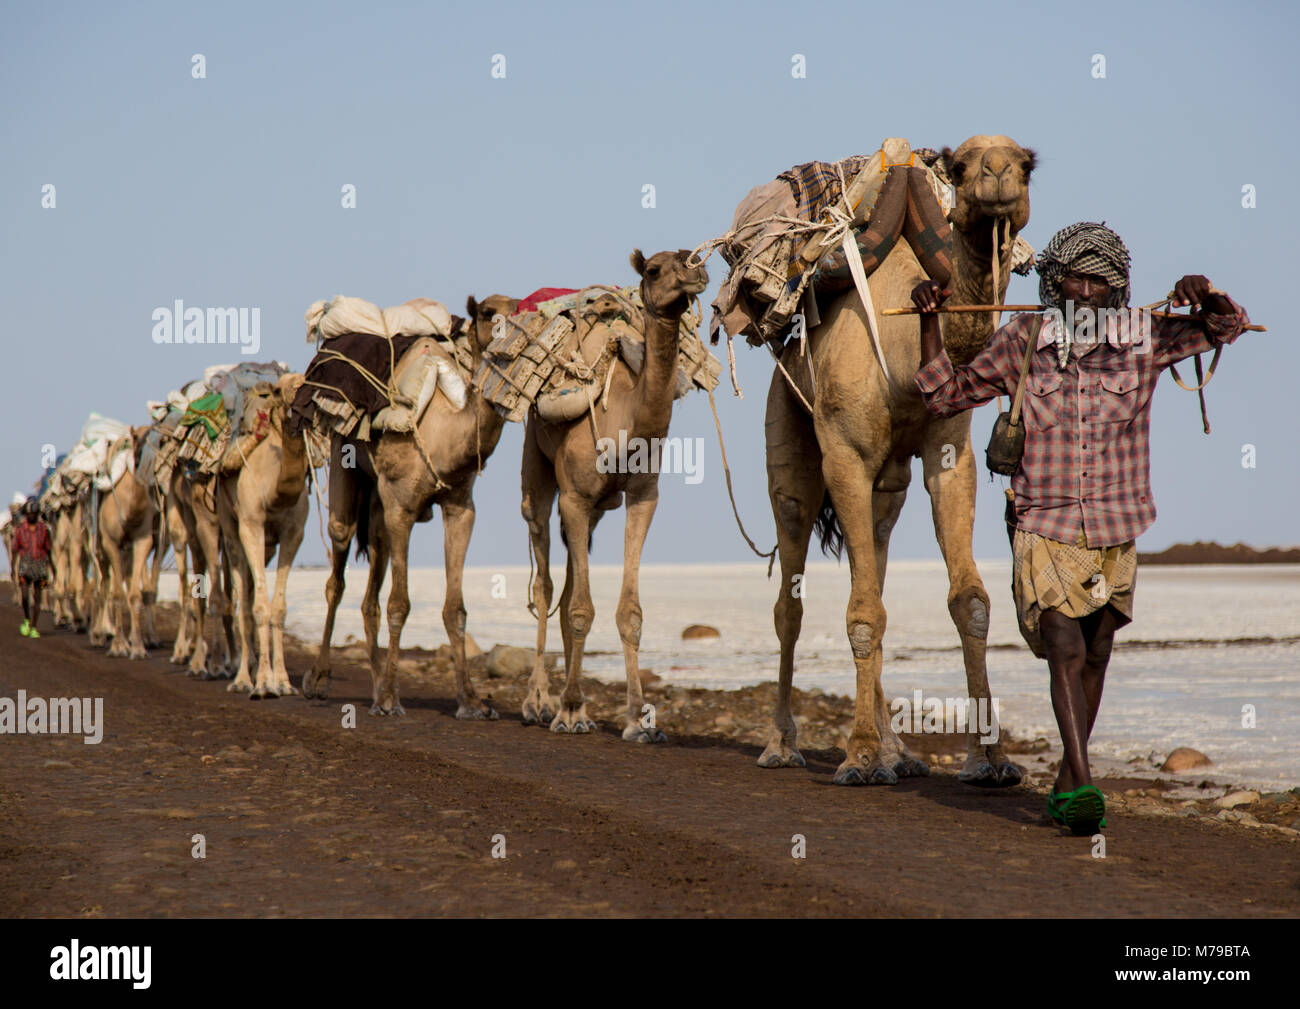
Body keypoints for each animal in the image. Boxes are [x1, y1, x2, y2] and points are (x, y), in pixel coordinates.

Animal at [216, 374, 315, 698]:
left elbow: (279, 609)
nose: (300, 407)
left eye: (308, 381)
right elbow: (258, 608)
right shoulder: (251, 524)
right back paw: (242, 679)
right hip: (228, 524)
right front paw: (262, 684)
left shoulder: (294, 533)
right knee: (242, 603)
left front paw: (282, 682)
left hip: (268, 545)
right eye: (279, 391)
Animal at [303, 298, 514, 718]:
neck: (442, 431)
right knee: (338, 562)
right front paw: (390, 699)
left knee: (371, 587)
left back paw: (374, 684)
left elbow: (456, 609)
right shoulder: (401, 508)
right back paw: (319, 679)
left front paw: (471, 701)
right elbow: (399, 604)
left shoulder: (460, 508)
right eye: (487, 313)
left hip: (378, 509)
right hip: (342, 457)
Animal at [520, 249, 709, 740]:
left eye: (686, 255)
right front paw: (568, 709)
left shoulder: (642, 497)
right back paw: (539, 703)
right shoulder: (574, 496)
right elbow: (580, 610)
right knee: (545, 582)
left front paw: (639, 720)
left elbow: (629, 613)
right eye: (655, 269)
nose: (697, 270)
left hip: (596, 510)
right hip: (536, 462)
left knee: (568, 584)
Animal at [758, 135, 1034, 785]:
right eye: (960, 165)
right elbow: (861, 612)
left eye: (1027, 163)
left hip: (889, 488)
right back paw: (783, 745)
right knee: (791, 595)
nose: (998, 173)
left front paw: (991, 760)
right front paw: (856, 757)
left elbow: (970, 601)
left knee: (876, 560)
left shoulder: (949, 450)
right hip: (788, 426)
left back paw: (898, 754)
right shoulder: (845, 453)